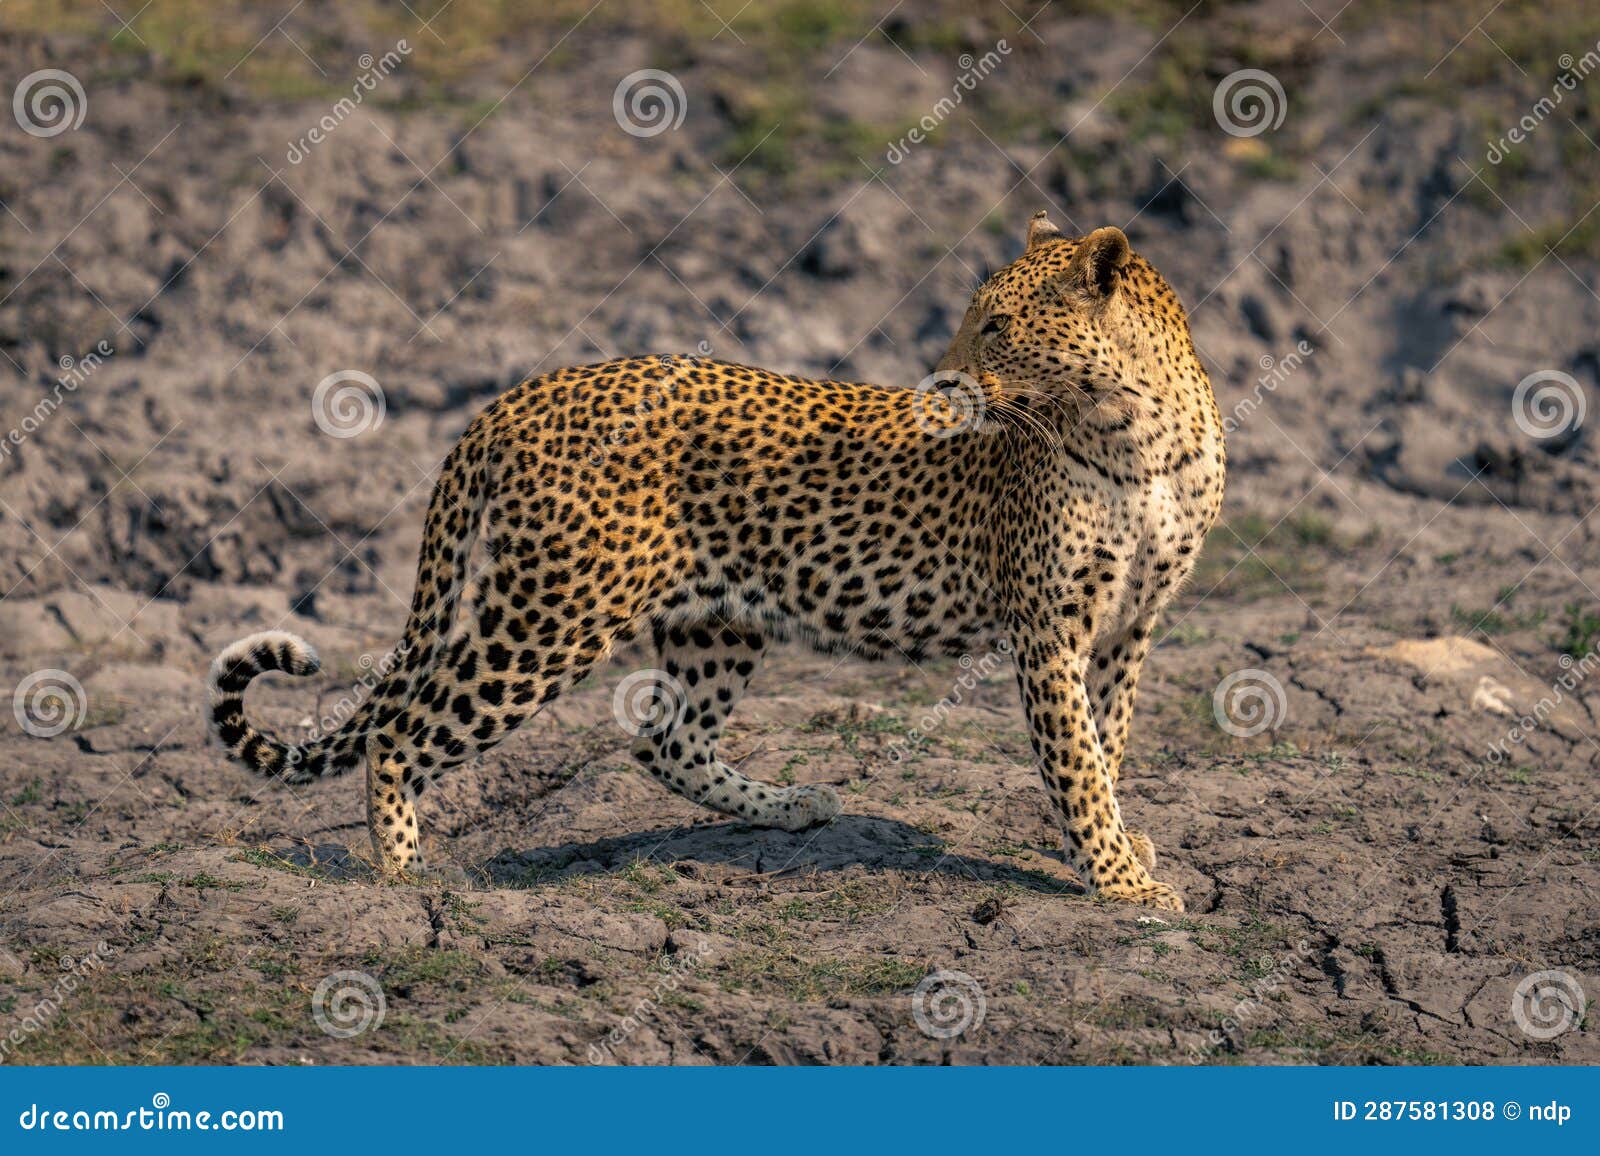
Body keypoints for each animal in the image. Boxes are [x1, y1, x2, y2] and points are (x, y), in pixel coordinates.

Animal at [207, 210, 1226, 911]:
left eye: (1001, 327)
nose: (939, 383)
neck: (1137, 435)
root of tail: (518, 393)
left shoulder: (1128, 627)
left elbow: (1106, 745)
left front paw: (1115, 851)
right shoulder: (1050, 630)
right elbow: (1077, 760)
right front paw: (1123, 885)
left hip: (714, 619)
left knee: (665, 738)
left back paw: (795, 805)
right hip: (550, 618)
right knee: (401, 730)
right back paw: (406, 877)